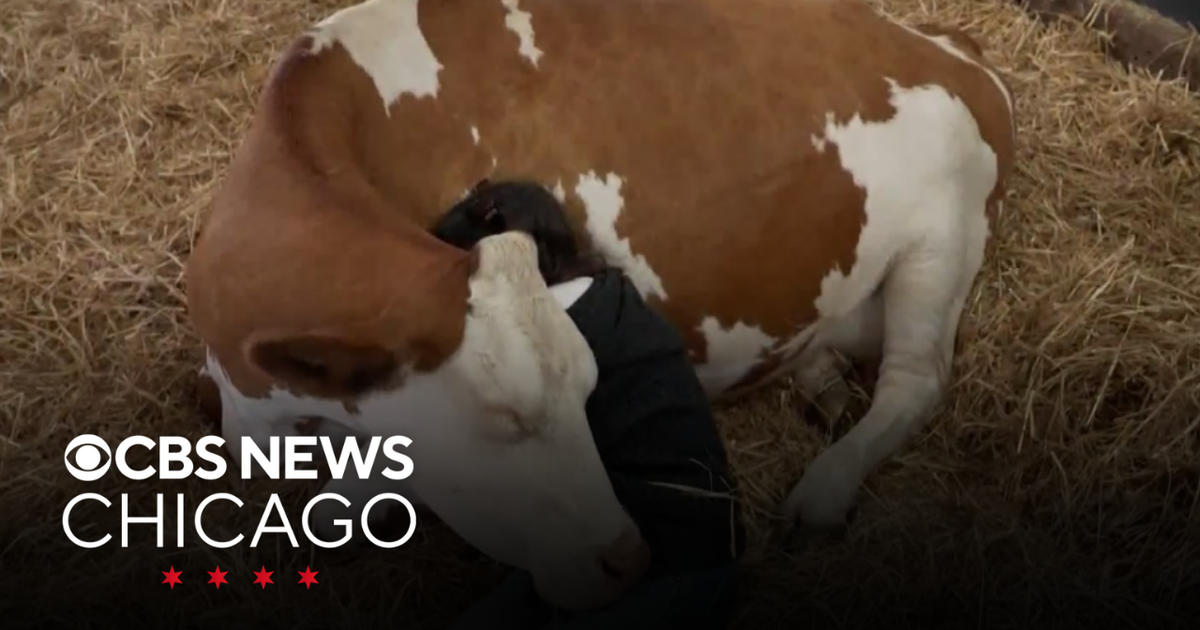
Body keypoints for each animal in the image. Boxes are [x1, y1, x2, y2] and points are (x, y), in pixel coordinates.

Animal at [184, 0, 1016, 612]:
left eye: (590, 389)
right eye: (504, 419)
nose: (629, 558)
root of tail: (941, 42)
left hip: (941, 235)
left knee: (916, 380)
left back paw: (824, 492)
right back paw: (820, 381)